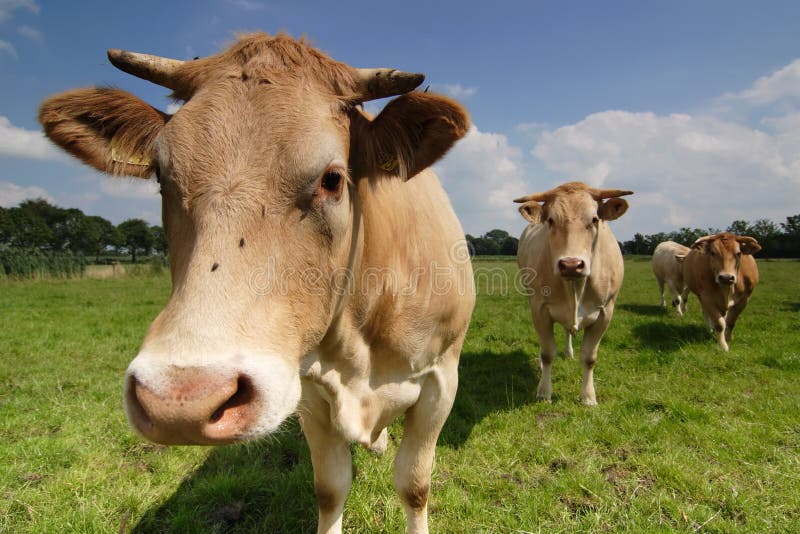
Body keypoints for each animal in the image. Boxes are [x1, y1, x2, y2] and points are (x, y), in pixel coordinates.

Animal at [38, 33, 475, 534]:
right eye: (161, 176)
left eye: (332, 179)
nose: (180, 402)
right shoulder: (309, 393)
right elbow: (330, 488)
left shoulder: (442, 381)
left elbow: (414, 485)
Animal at [515, 182, 631, 406]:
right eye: (551, 220)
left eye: (594, 219)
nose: (571, 265)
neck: (575, 287)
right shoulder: (539, 309)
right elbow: (547, 353)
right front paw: (544, 392)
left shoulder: (605, 312)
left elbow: (589, 357)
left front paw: (588, 396)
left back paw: (568, 352)